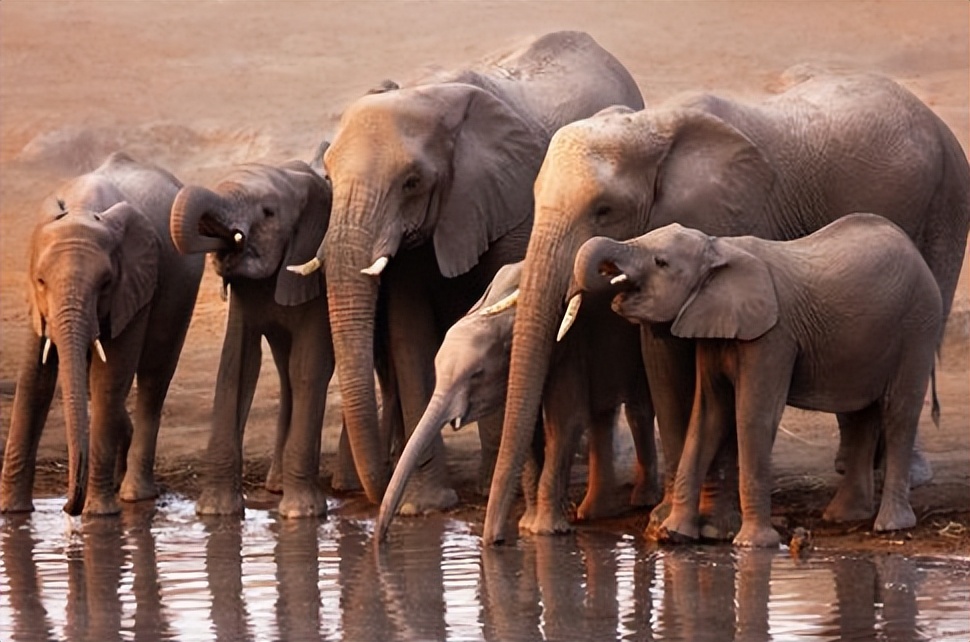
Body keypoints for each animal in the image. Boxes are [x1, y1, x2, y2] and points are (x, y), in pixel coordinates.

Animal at [0, 152, 204, 515]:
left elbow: (110, 378)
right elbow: (34, 378)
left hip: (182, 289)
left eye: (106, 283)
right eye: (40, 280)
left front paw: (99, 516)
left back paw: (135, 494)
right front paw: (12, 513)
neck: (83, 207)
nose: (69, 507)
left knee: (154, 378)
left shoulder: (135, 285)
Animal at [169, 155, 376, 518]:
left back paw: (346, 485)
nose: (227, 239)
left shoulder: (315, 285)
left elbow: (308, 367)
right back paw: (278, 485)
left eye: (268, 212)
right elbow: (236, 365)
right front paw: (215, 513)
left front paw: (301, 514)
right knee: (285, 372)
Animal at [287, 31, 644, 511]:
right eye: (328, 175)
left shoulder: (511, 201)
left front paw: (487, 489)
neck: (425, 93)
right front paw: (426, 505)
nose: (372, 495)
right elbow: (409, 336)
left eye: (412, 182)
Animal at [376, 261, 659, 541]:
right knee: (605, 415)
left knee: (637, 409)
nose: (382, 538)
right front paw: (528, 526)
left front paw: (544, 531)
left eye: (477, 374)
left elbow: (566, 421)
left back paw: (640, 501)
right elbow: (528, 425)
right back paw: (593, 512)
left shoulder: (569, 347)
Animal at [572, 214, 942, 547]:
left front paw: (752, 545)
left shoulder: (772, 336)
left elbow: (753, 416)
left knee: (899, 413)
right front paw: (672, 535)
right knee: (859, 414)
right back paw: (843, 516)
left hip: (917, 325)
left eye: (661, 262)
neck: (717, 248)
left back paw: (890, 525)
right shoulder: (715, 328)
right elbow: (707, 416)